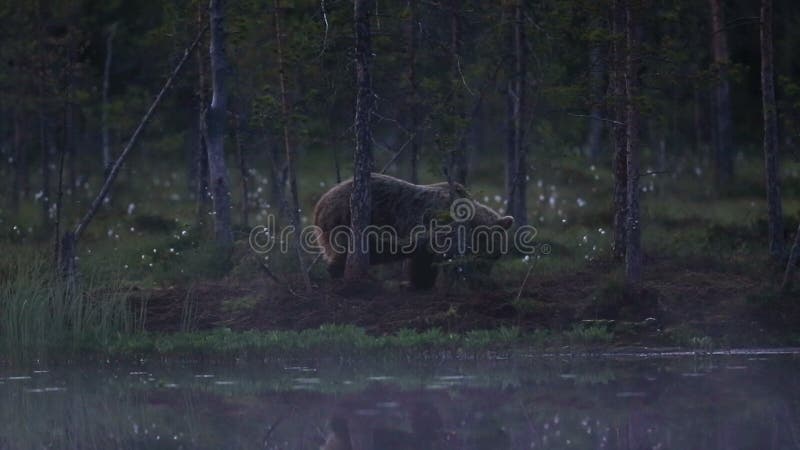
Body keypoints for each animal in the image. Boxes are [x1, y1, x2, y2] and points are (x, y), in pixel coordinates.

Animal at [313, 173, 514, 289]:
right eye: (490, 255)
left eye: (496, 255)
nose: (483, 278)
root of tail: (320, 203)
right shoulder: (437, 232)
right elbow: (429, 263)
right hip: (346, 221)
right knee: (344, 251)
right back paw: (341, 277)